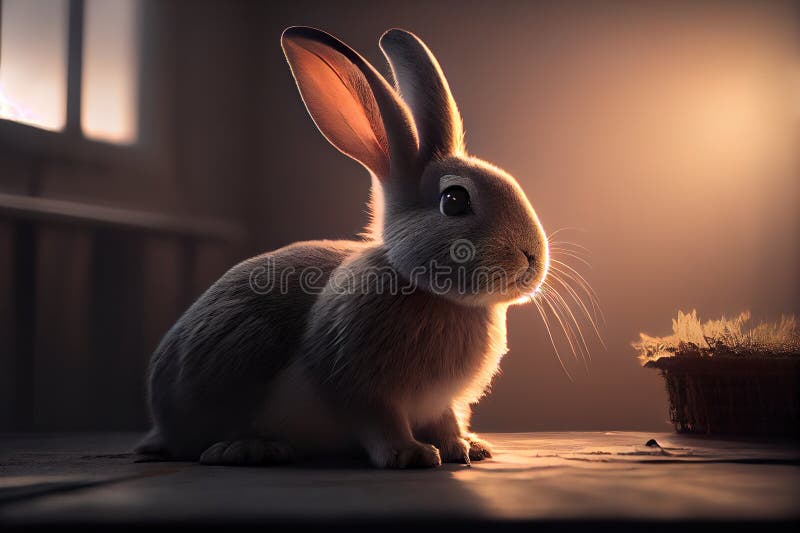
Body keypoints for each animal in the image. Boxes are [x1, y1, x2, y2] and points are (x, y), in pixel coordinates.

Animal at [137, 26, 549, 469]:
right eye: (454, 201)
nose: (531, 259)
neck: (429, 291)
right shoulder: (360, 388)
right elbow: (381, 424)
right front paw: (412, 455)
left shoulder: (439, 404)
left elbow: (446, 422)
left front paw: (465, 448)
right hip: (237, 355)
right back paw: (249, 448)